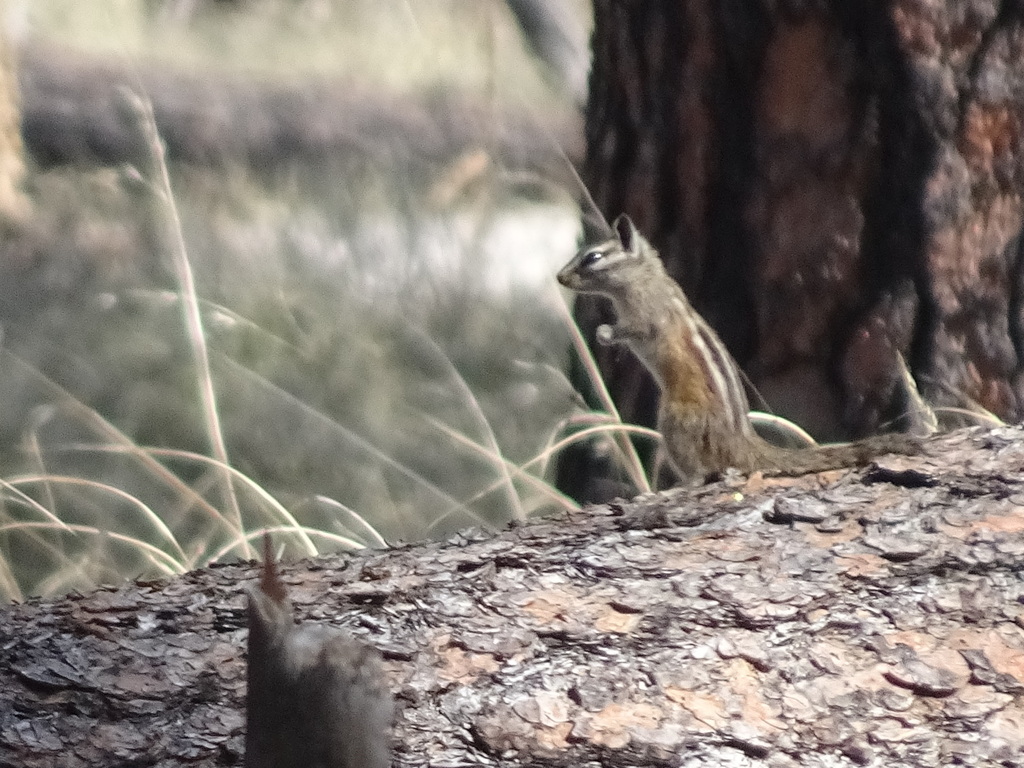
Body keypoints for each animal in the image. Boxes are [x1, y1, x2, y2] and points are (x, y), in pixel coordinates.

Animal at [557, 214, 922, 483]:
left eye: (592, 257)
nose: (560, 278)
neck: (643, 278)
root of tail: (740, 439)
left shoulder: (650, 314)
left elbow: (637, 329)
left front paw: (606, 333)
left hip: (676, 421)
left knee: (704, 468)